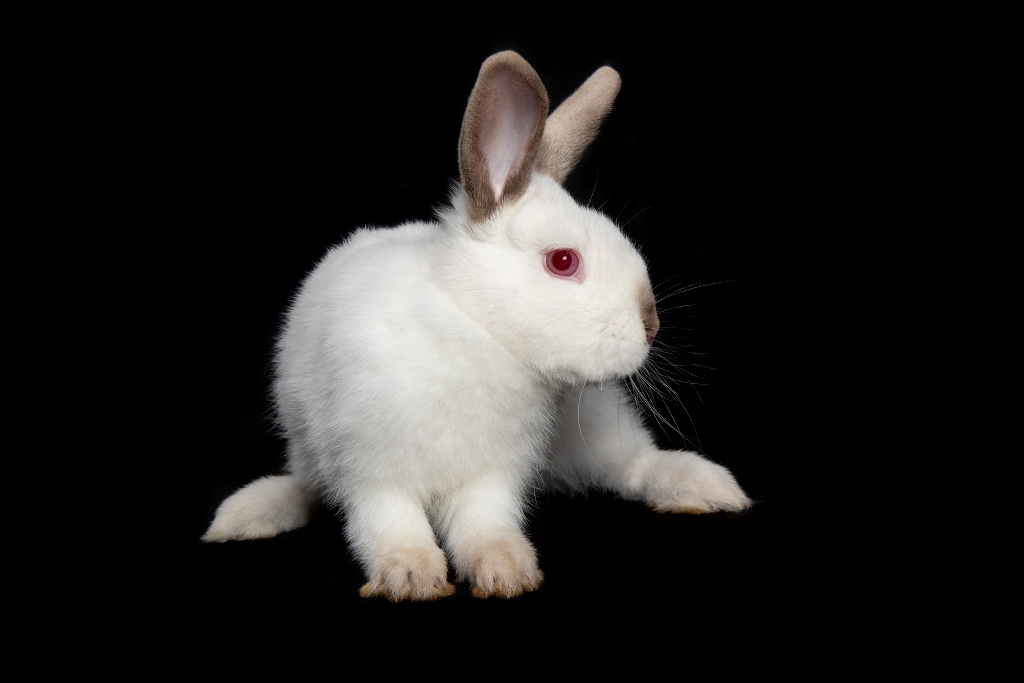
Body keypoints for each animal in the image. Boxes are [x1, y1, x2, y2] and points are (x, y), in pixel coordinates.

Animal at [203, 50, 752, 601]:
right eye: (563, 261)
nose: (650, 325)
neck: (474, 325)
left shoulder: (492, 475)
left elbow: (484, 523)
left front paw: (505, 569)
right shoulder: (374, 471)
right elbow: (389, 524)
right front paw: (410, 575)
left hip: (595, 422)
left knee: (633, 464)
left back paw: (708, 489)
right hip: (308, 449)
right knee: (306, 484)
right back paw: (248, 515)